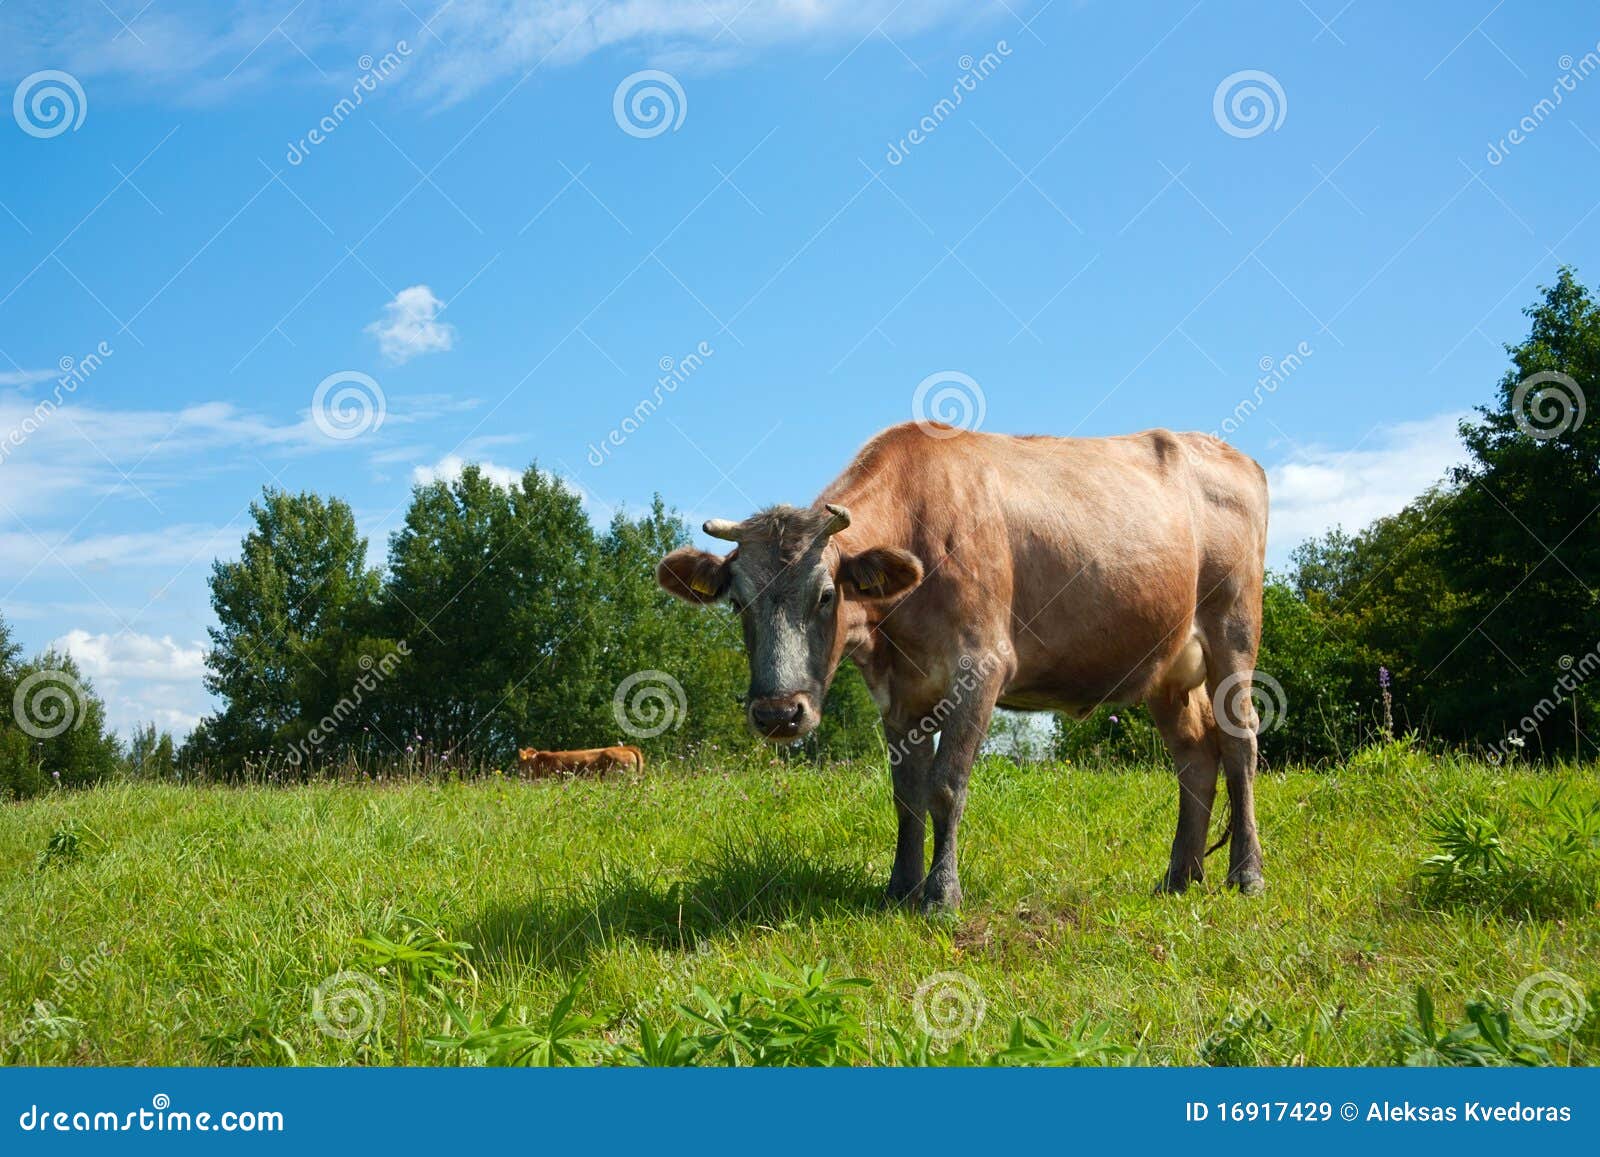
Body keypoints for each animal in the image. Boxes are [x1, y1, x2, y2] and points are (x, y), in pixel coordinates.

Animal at [656, 421, 1269, 912]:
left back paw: (1247, 876)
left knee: (1239, 744)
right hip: (1167, 666)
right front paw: (900, 888)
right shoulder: (897, 693)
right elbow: (906, 792)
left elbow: (947, 785)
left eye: (827, 595)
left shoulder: (981, 666)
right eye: (738, 602)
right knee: (1195, 755)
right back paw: (1179, 878)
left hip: (1233, 630)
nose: (778, 714)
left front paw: (940, 894)